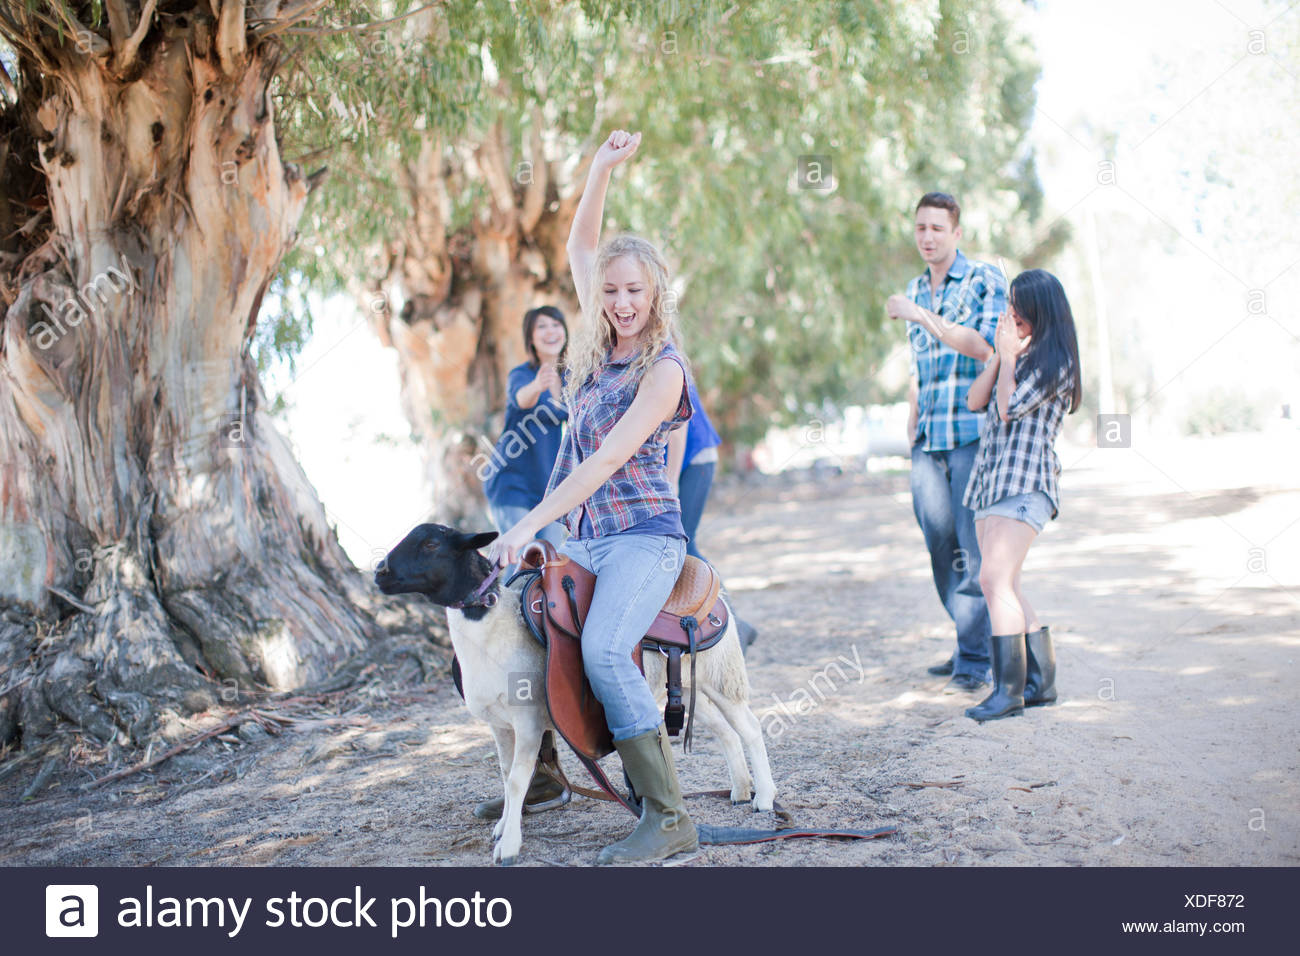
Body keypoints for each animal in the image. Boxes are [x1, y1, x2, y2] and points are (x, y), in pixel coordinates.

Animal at [375, 523, 776, 865]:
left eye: (431, 544)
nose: (379, 572)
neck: (493, 628)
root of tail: (712, 587)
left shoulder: (528, 719)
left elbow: (517, 779)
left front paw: (509, 846)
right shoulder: (499, 724)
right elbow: (505, 774)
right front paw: (504, 825)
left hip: (723, 676)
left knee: (750, 728)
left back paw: (764, 798)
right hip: (687, 686)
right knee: (725, 732)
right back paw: (741, 790)